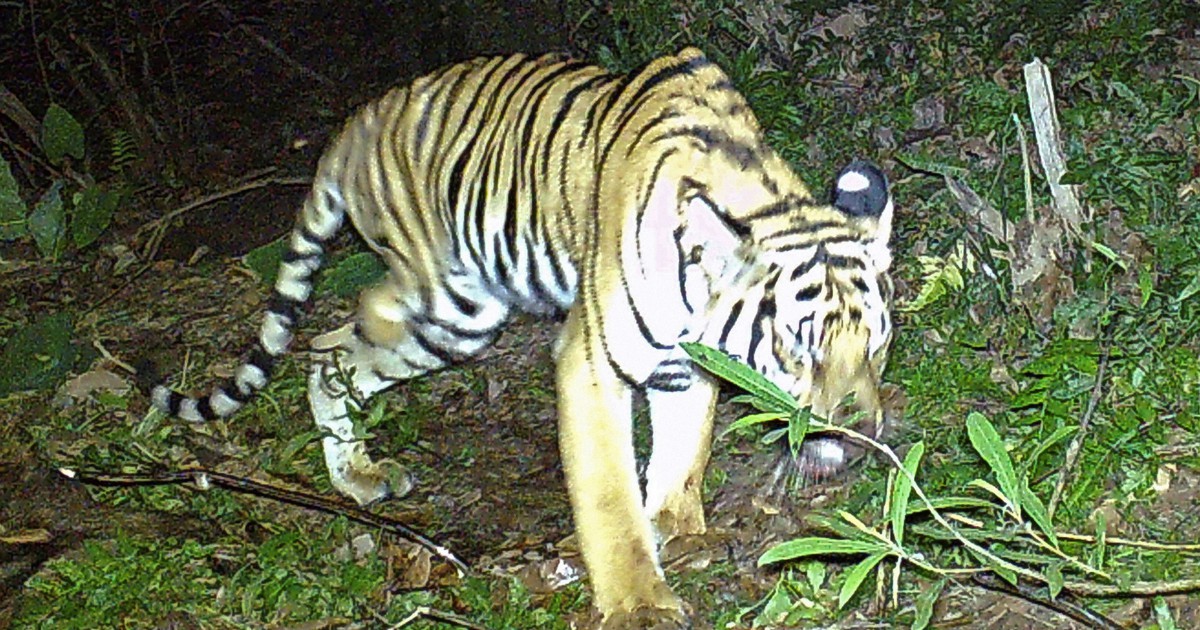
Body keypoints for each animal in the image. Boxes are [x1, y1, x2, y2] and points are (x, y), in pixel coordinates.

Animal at [149, 47, 894, 628]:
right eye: (799, 349)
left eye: (877, 347)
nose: (863, 435)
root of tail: (354, 124)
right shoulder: (593, 364)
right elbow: (609, 497)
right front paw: (639, 602)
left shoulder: (686, 367)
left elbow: (684, 453)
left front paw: (678, 530)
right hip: (449, 302)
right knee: (347, 326)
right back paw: (359, 456)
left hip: (455, 323)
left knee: (333, 346)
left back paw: (360, 476)